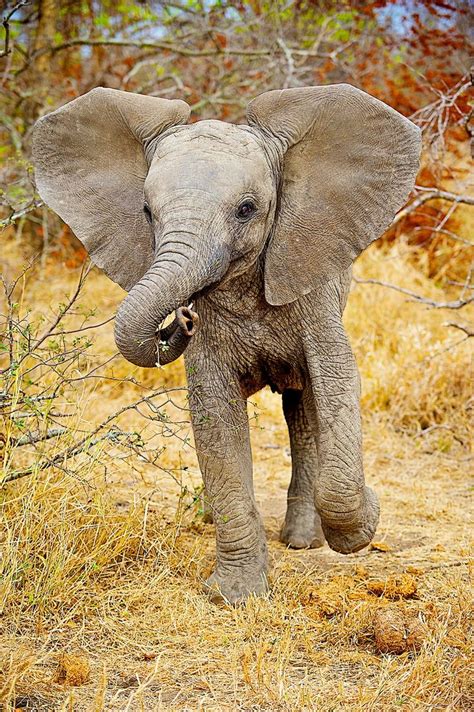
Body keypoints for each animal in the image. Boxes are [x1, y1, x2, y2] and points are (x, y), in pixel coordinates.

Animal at [33, 84, 421, 604]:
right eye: (147, 212)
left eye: (247, 209)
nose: (183, 318)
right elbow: (215, 416)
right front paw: (237, 596)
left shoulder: (314, 292)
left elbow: (336, 383)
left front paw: (367, 519)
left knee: (303, 407)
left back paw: (303, 540)